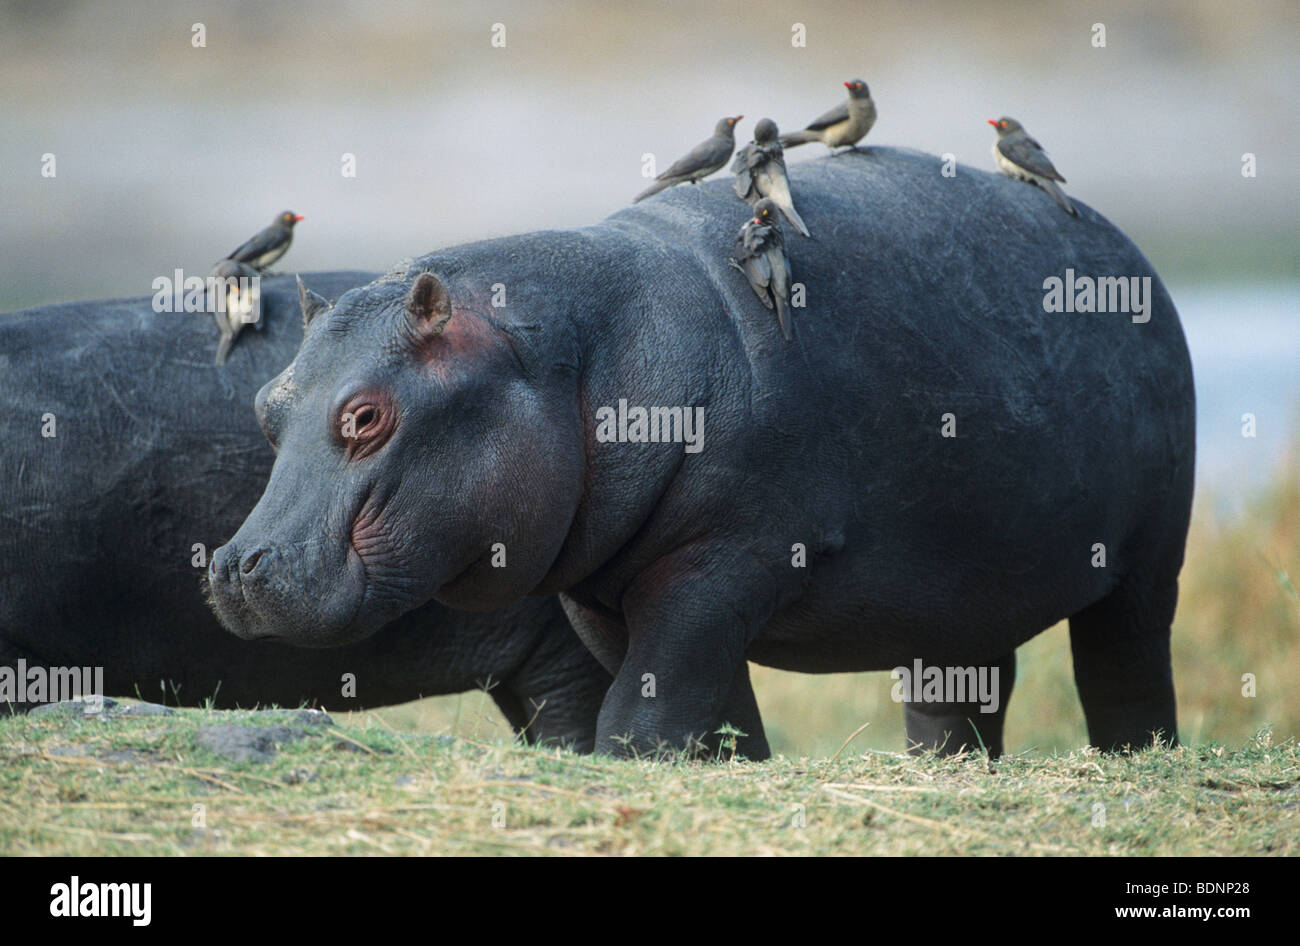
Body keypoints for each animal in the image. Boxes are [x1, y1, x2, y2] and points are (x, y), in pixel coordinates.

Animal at [208, 148, 1195, 760]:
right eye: (265, 407)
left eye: (366, 416)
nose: (232, 565)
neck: (571, 360)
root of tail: (1128, 251)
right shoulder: (599, 592)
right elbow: (712, 713)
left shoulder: (723, 563)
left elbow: (647, 705)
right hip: (962, 593)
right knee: (957, 697)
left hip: (1150, 558)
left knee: (1126, 667)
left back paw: (1142, 753)